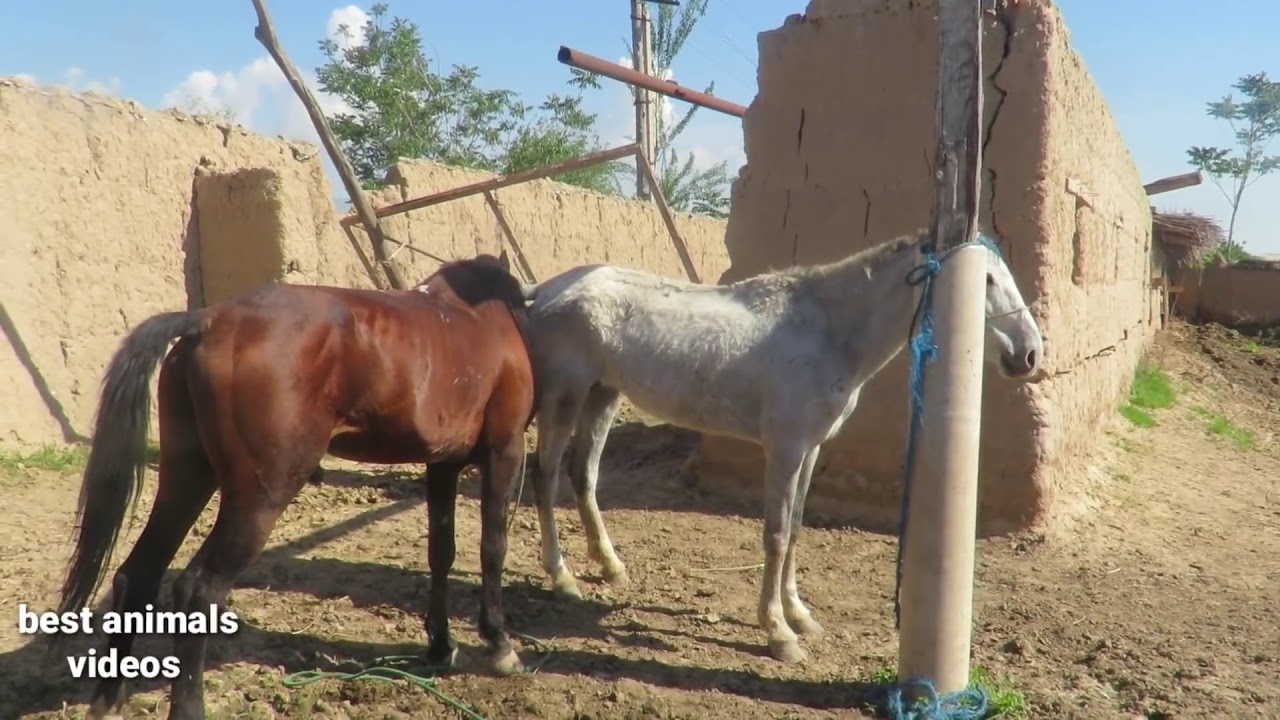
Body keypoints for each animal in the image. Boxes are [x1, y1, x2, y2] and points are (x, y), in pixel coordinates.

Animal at [53, 252, 536, 720]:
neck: (479, 317)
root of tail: (209, 320)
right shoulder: (504, 450)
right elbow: (493, 547)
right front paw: (499, 644)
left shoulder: (442, 463)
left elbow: (441, 552)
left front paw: (440, 645)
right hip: (261, 496)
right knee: (197, 592)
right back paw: (188, 706)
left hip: (187, 474)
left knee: (138, 573)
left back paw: (109, 697)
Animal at [517, 229, 1045, 664]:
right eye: (985, 281)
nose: (1030, 355)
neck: (828, 331)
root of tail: (542, 291)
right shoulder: (785, 449)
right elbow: (773, 534)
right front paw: (777, 632)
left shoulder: (809, 449)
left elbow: (794, 530)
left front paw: (800, 615)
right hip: (565, 397)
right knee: (546, 476)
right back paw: (562, 578)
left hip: (603, 394)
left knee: (584, 474)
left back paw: (610, 565)